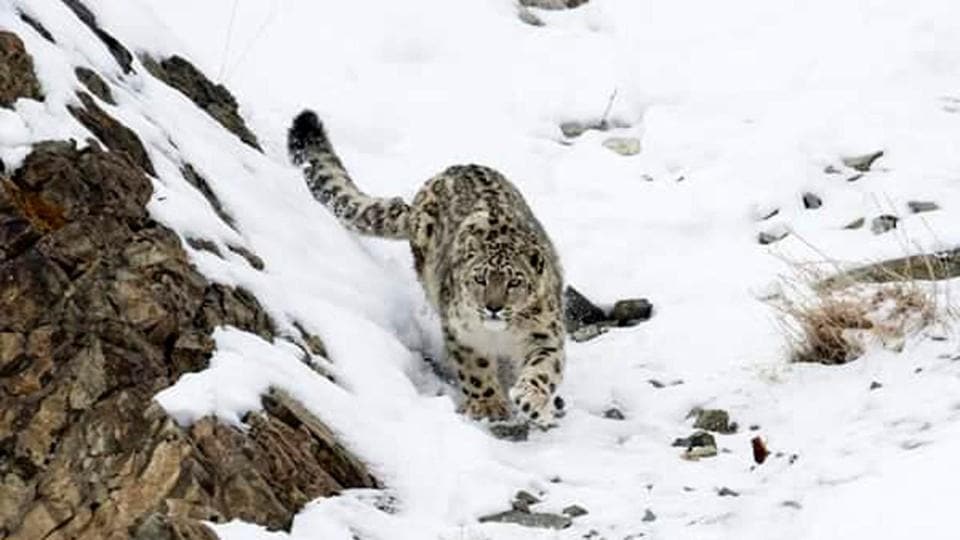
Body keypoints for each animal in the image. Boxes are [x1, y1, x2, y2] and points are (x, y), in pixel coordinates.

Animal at [287, 110, 566, 427]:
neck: (499, 335)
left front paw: (533, 402)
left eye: (515, 282)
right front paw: (488, 404)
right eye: (480, 279)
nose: (493, 307)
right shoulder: (461, 332)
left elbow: (543, 369)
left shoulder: (544, 334)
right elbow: (475, 369)